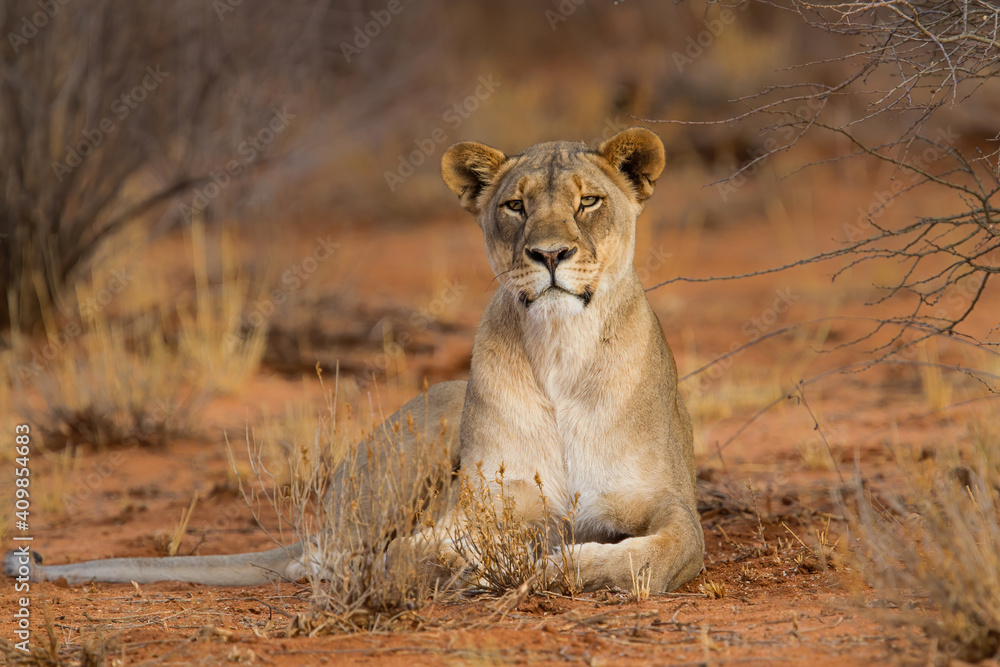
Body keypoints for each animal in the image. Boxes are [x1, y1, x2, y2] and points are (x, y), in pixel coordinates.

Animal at [4, 128, 704, 593]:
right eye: (515, 205)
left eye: (589, 202)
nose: (550, 254)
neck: (561, 348)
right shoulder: (483, 506)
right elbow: (430, 551)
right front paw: (473, 564)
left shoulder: (674, 511)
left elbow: (648, 556)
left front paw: (557, 563)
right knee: (323, 557)